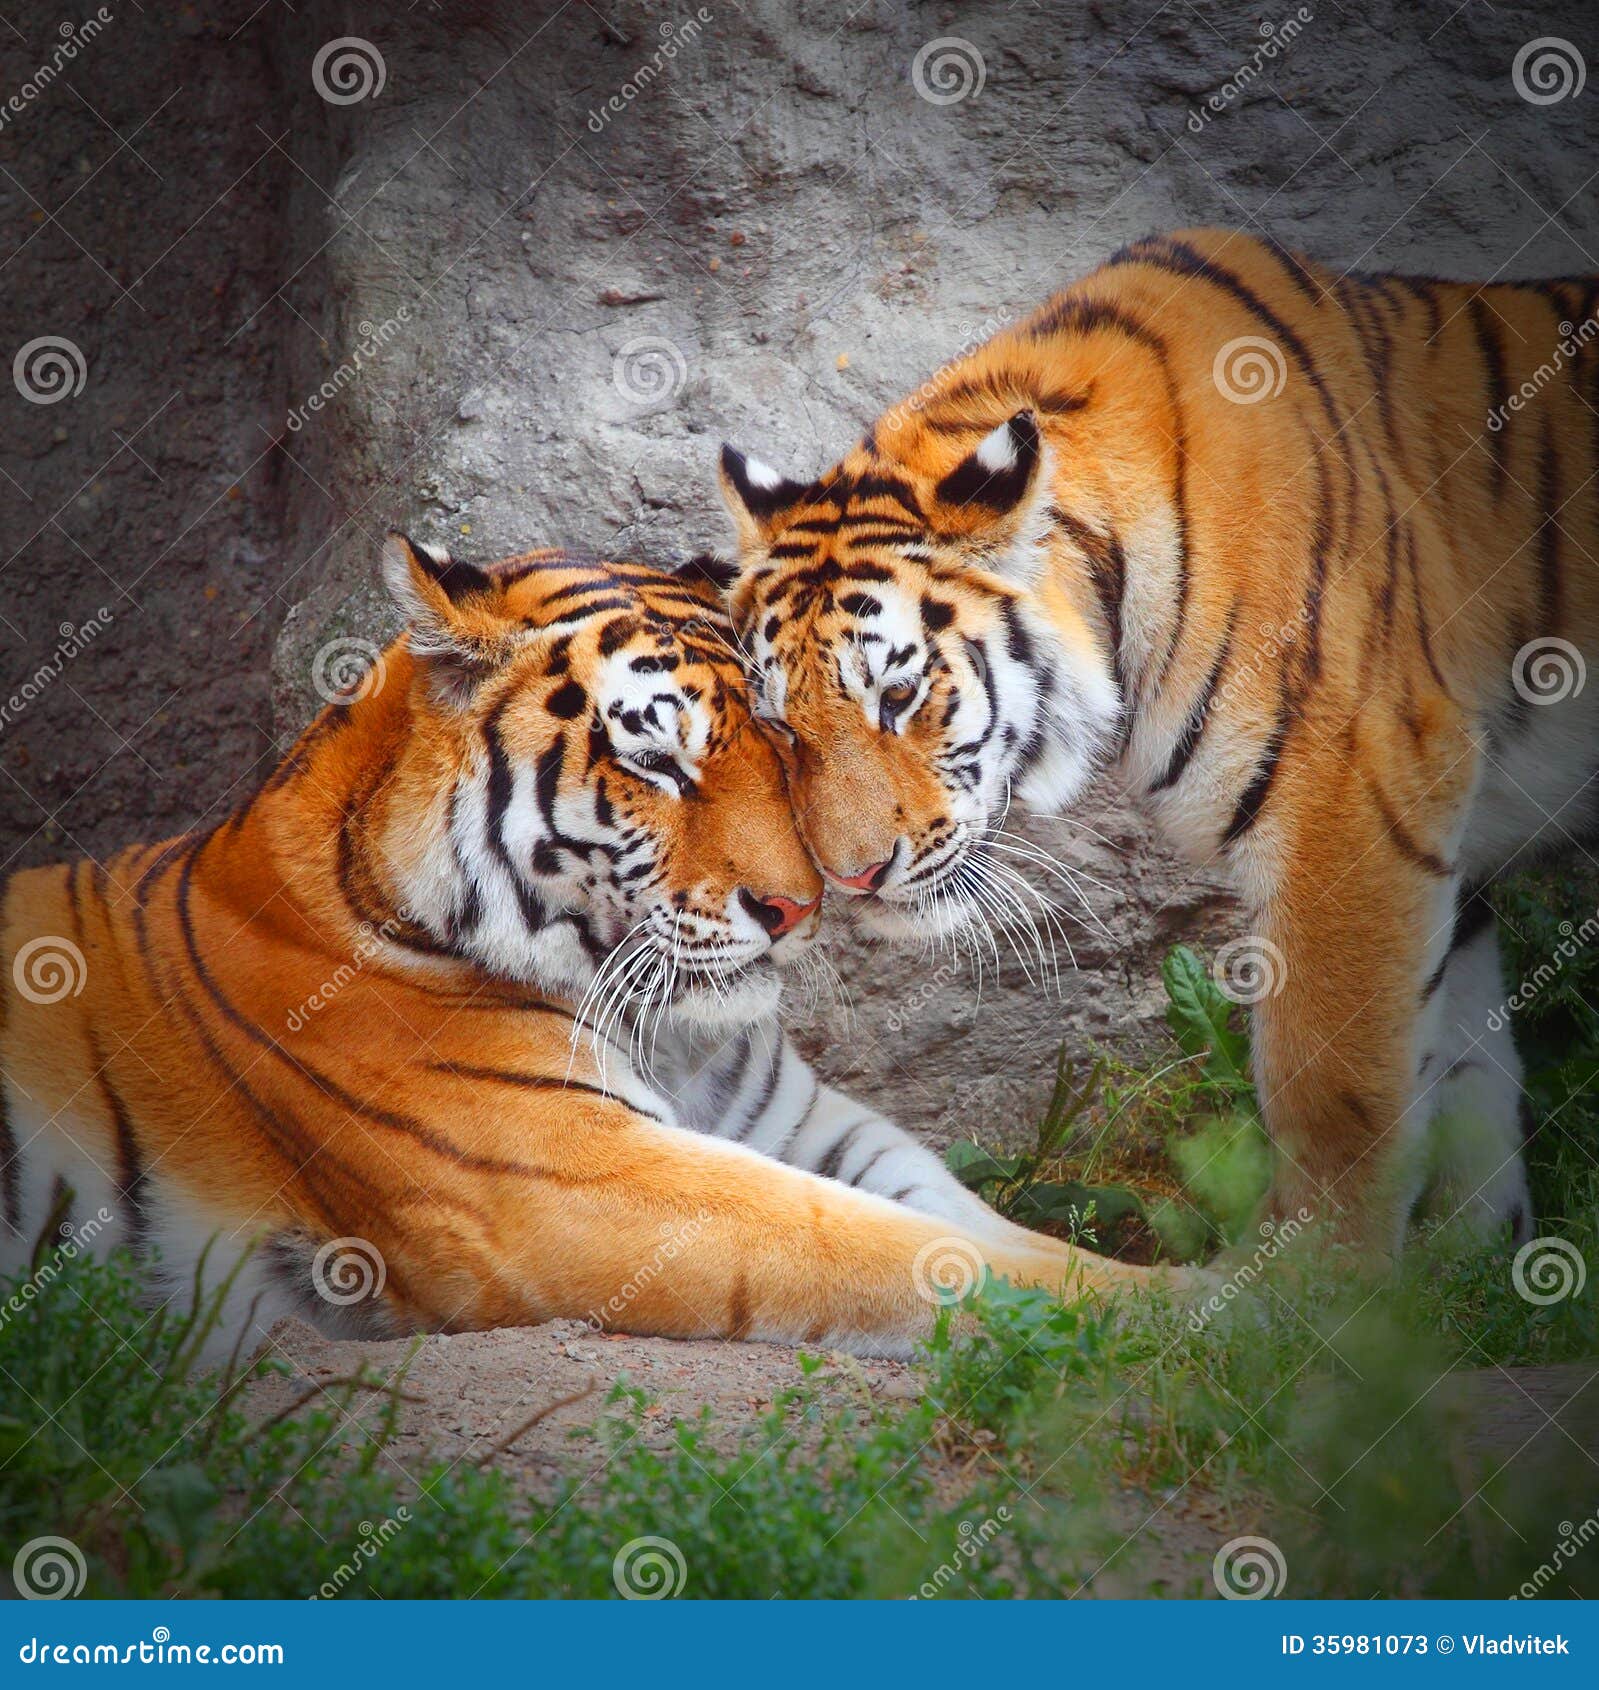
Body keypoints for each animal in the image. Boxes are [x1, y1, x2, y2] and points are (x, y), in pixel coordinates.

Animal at [0, 533, 1176, 1363]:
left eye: (784, 739)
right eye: (656, 760)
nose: (796, 906)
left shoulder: (803, 1129)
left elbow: (982, 1228)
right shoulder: (577, 1182)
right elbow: (891, 1251)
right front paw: (1199, 1314)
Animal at [715, 227, 1599, 1260]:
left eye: (897, 696)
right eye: (780, 724)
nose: (849, 880)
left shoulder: (1356, 805)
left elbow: (1339, 1091)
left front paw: (1316, 1286)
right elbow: (1465, 1073)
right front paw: (1471, 1269)